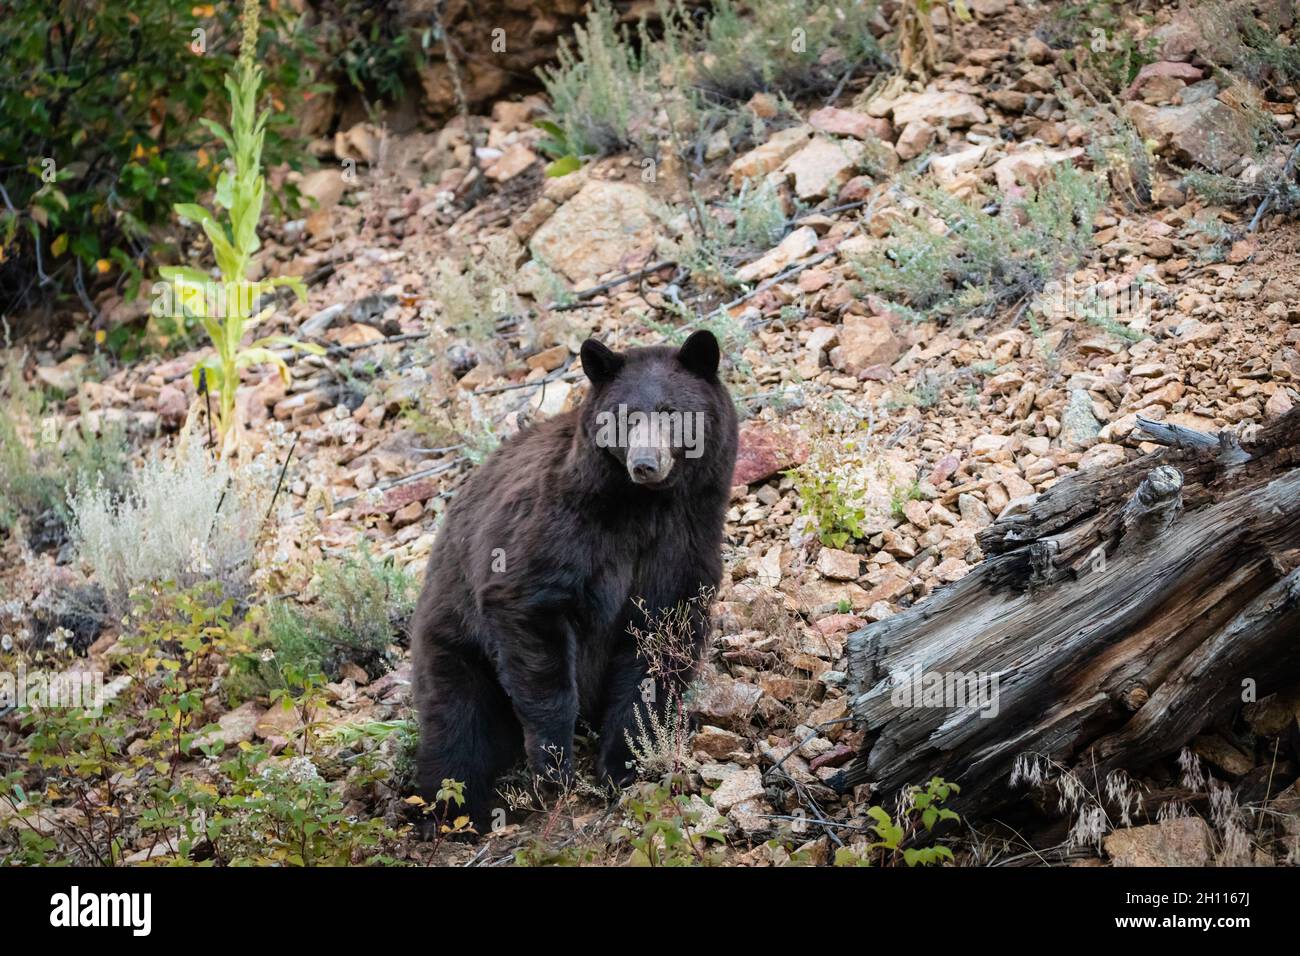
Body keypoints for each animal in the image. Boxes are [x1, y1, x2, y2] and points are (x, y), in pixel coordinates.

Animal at [410, 329, 738, 831]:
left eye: (671, 412)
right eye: (625, 416)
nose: (644, 463)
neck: (645, 507)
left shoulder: (685, 541)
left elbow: (657, 649)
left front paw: (625, 762)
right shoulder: (560, 523)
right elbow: (529, 608)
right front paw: (554, 762)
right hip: (455, 638)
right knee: (456, 721)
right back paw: (453, 810)